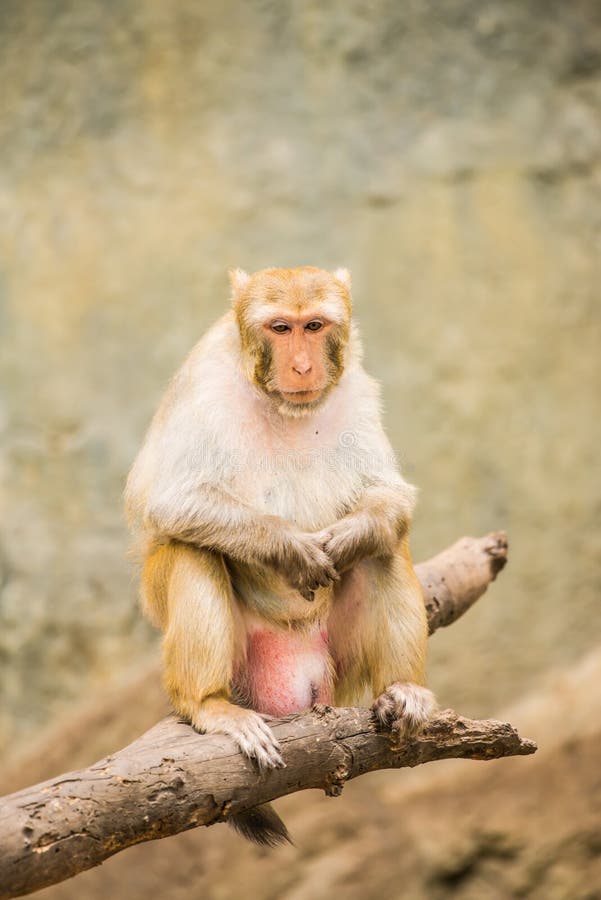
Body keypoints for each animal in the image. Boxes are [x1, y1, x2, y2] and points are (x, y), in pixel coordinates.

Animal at [125, 266, 436, 846]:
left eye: (314, 325)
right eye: (280, 328)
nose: (302, 365)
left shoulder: (358, 390)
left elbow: (388, 498)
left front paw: (350, 535)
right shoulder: (205, 384)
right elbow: (173, 501)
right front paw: (289, 547)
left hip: (339, 659)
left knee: (385, 548)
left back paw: (402, 689)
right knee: (191, 549)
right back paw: (208, 704)